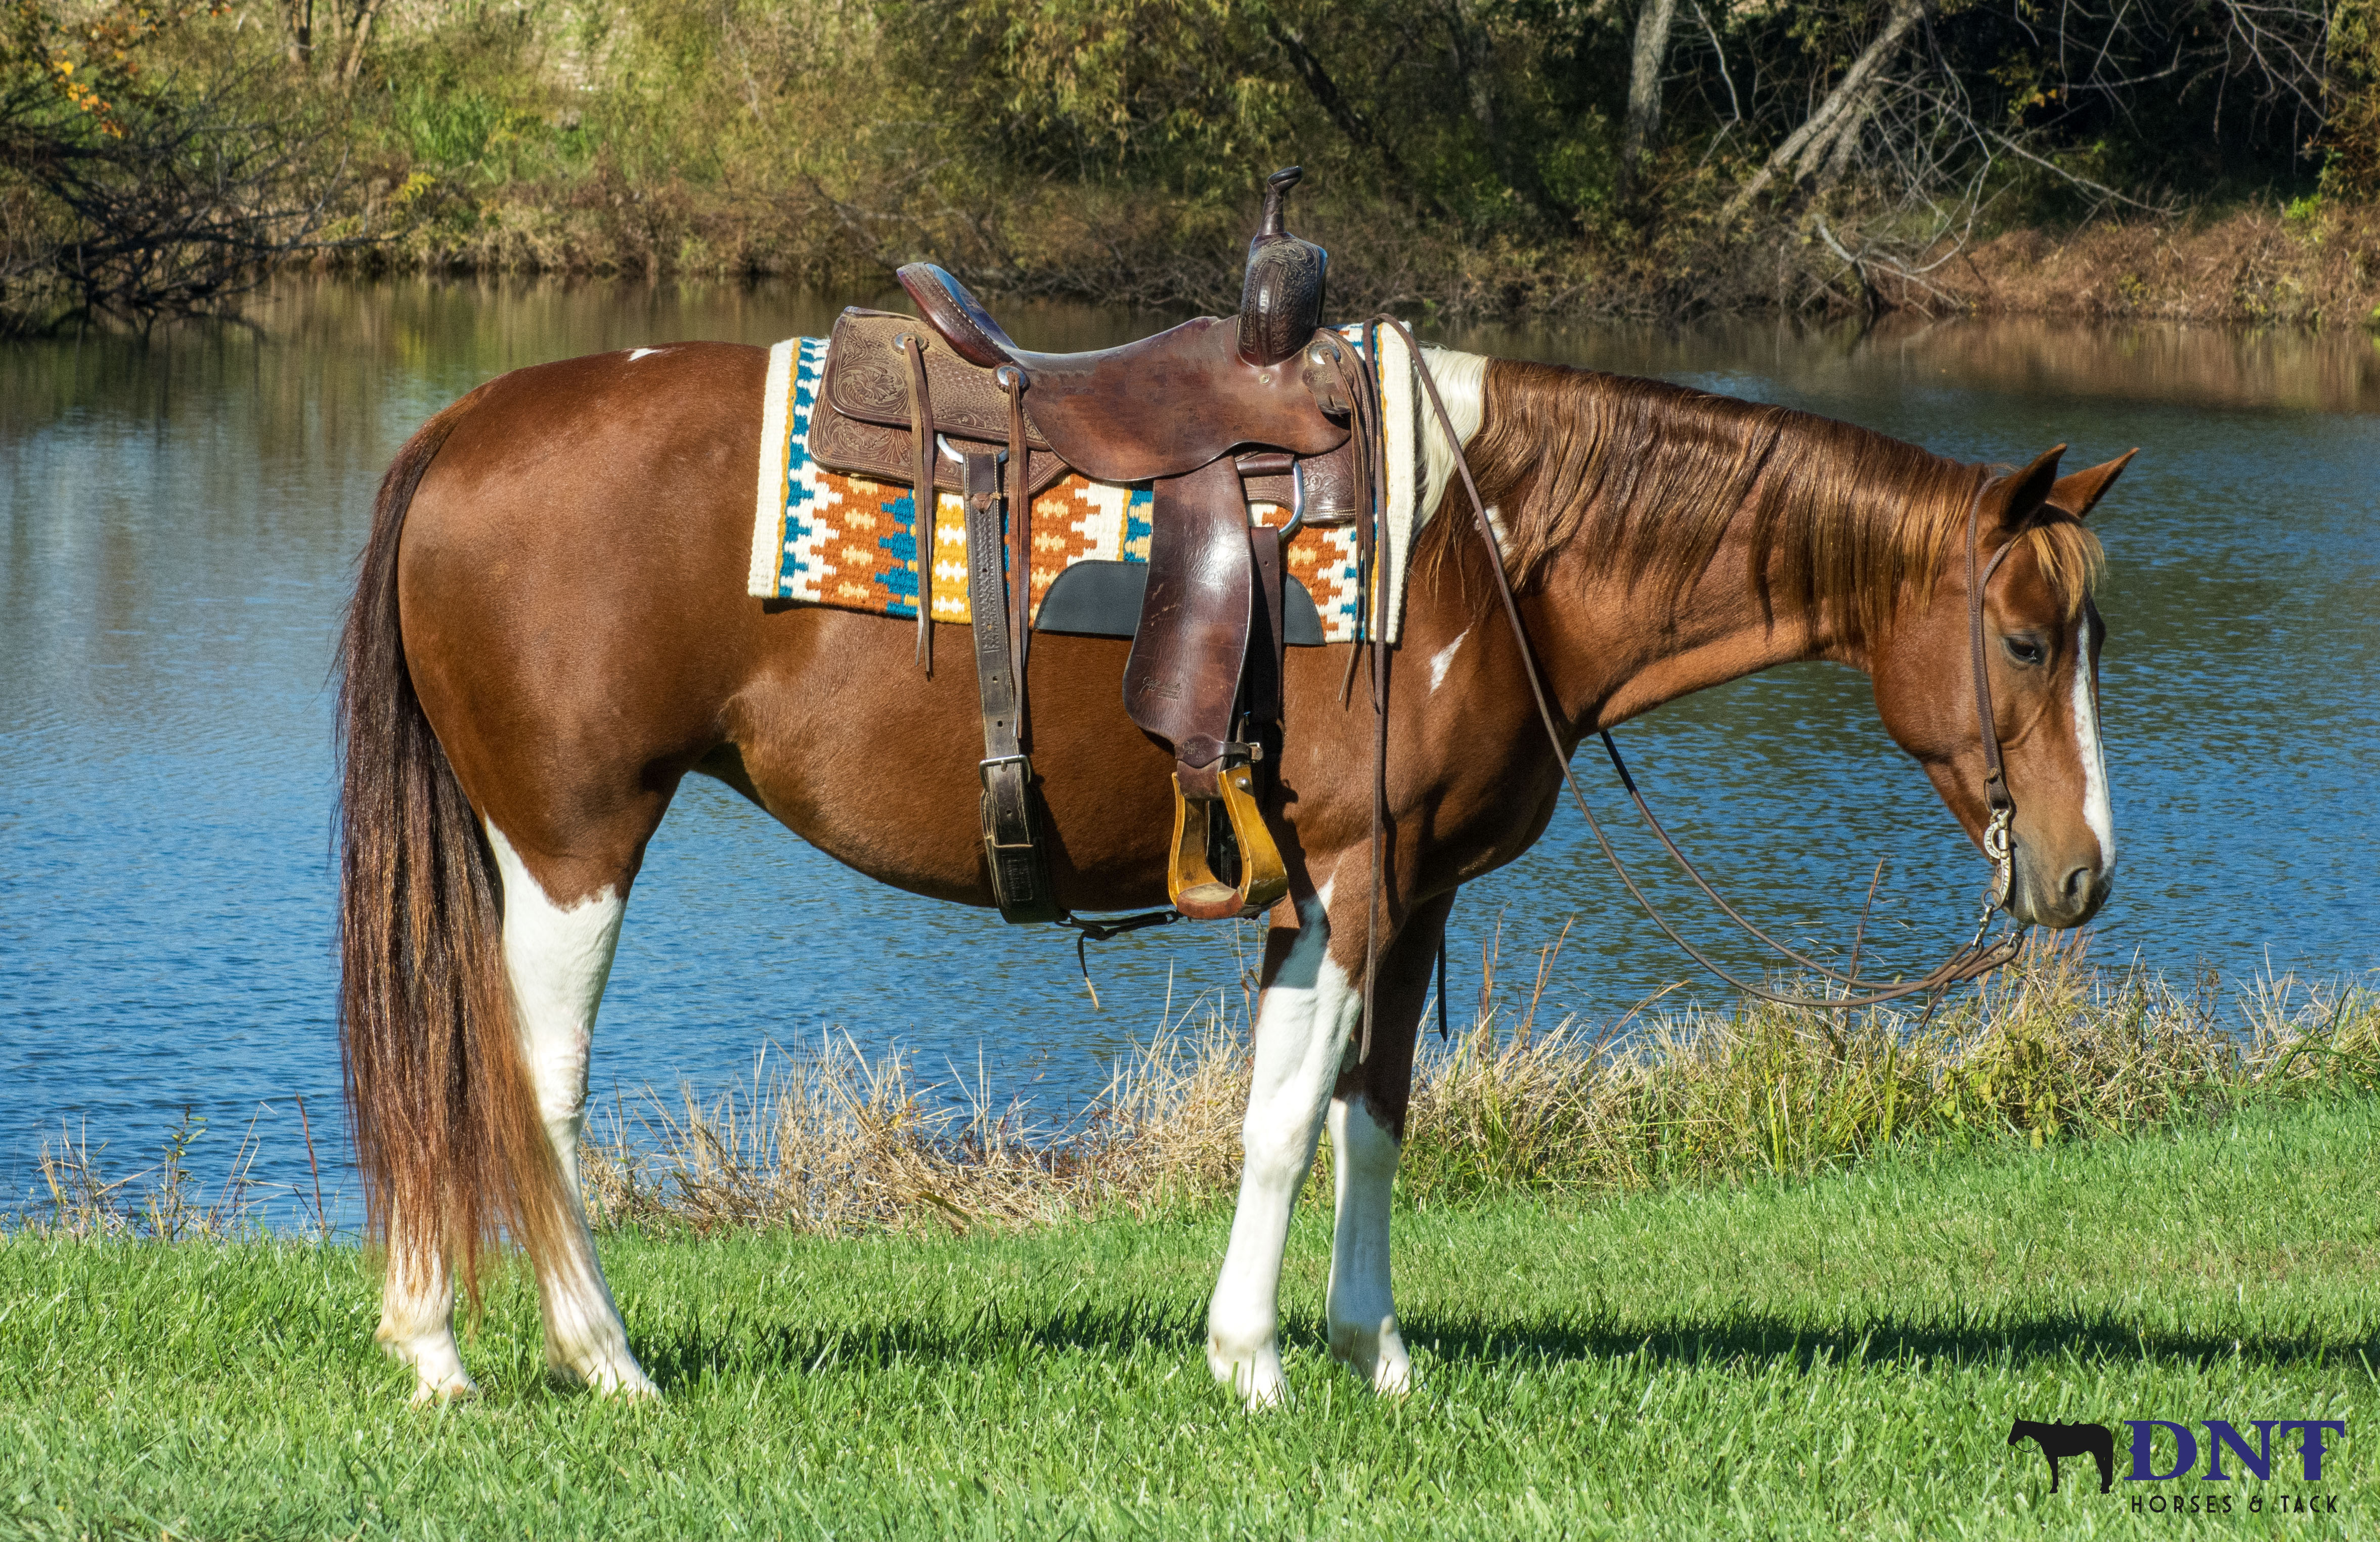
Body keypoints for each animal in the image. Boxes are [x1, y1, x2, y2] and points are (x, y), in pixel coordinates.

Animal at [336, 338, 2128, 1407]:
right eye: (2026, 640)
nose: (2083, 876)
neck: (1486, 543)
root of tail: (463, 425)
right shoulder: (1341, 884)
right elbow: (1275, 1124)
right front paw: (1251, 1360)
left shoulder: (1416, 895)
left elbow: (1371, 1120)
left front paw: (1376, 1353)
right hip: (572, 843)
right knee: (527, 1090)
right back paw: (598, 1357)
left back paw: (431, 1345)